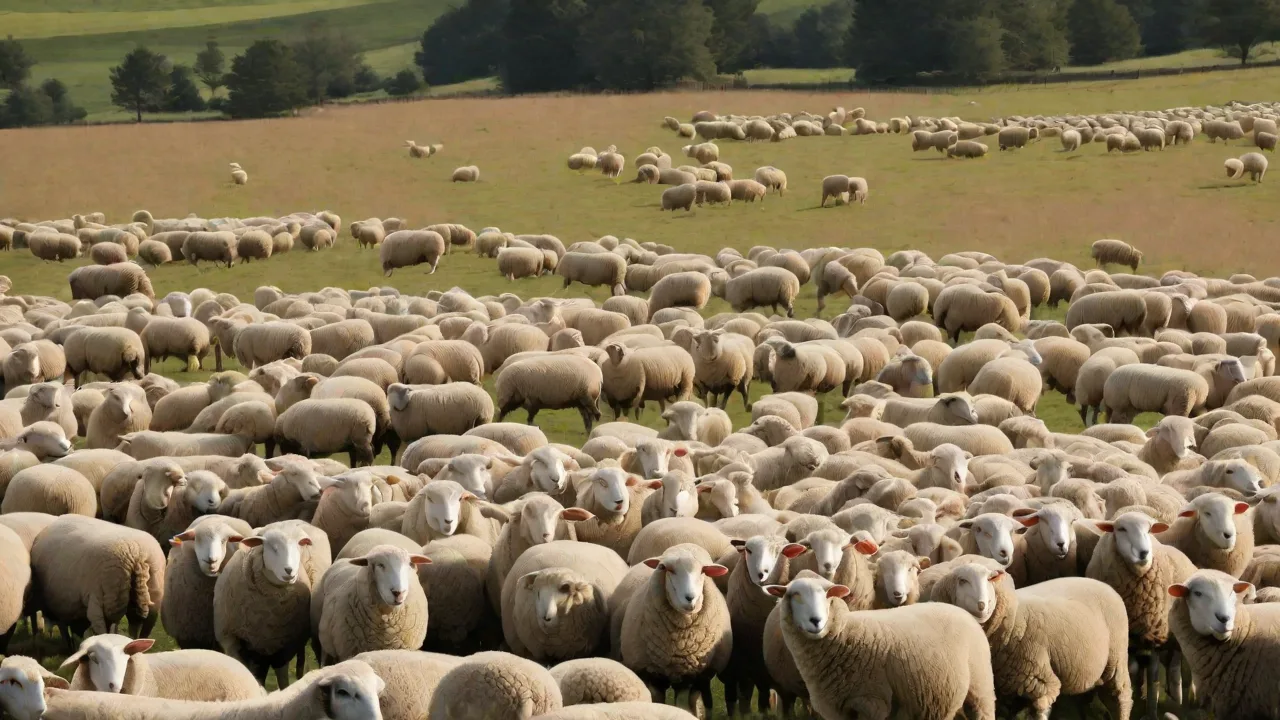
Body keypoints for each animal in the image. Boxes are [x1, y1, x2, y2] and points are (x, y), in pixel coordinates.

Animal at [765, 573, 996, 720]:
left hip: (980, 687)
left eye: (829, 595)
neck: (845, 635)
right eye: (794, 595)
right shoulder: (836, 709)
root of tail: (963, 612)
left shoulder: (873, 702)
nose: (816, 621)